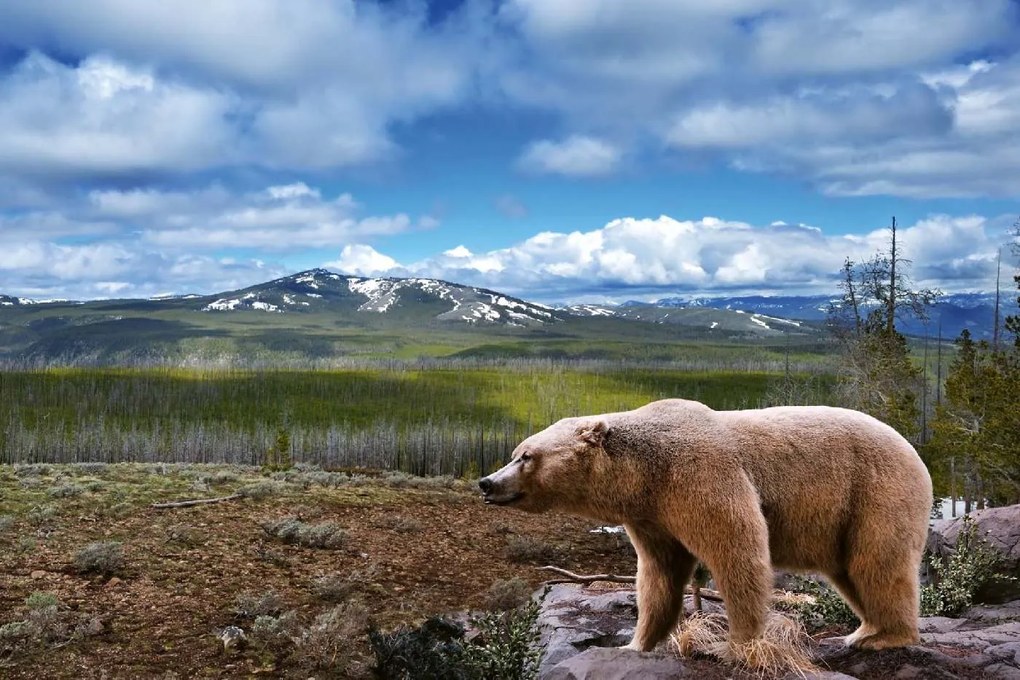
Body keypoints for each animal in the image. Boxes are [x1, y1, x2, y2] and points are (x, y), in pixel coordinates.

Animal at [477, 399, 934, 660]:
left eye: (526, 456)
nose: (487, 483)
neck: (644, 474)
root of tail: (913, 450)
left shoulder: (698, 473)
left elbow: (738, 550)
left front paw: (734, 645)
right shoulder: (651, 515)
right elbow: (658, 575)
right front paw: (635, 643)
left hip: (876, 490)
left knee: (877, 562)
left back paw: (885, 637)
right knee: (849, 571)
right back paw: (865, 630)